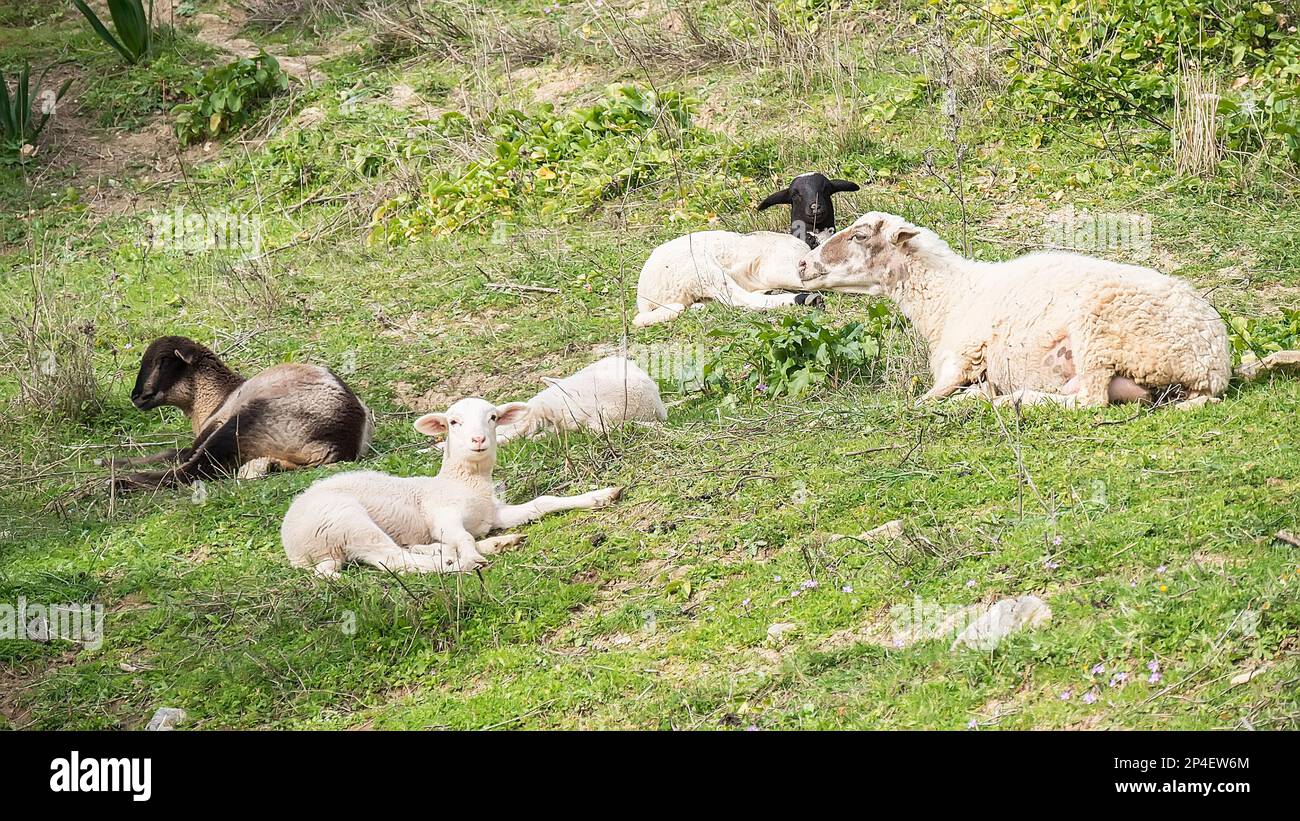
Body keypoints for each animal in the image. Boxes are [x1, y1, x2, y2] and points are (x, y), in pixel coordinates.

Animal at [104, 336, 373, 489]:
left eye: (163, 361)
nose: (136, 396)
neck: (214, 398)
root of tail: (340, 442)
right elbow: (171, 452)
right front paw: (111, 461)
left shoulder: (214, 427)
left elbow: (180, 455)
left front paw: (115, 467)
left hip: (245, 424)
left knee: (191, 472)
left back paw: (118, 484)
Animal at [280, 397, 622, 577]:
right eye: (453, 422)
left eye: (493, 417)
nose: (478, 439)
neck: (463, 483)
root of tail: (296, 548)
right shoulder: (442, 515)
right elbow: (462, 537)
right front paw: (470, 557)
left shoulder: (493, 514)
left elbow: (543, 502)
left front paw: (601, 495)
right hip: (347, 522)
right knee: (396, 560)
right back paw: (452, 562)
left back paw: (494, 544)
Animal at [797, 212, 1231, 408]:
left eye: (859, 236)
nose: (802, 264)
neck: (950, 297)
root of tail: (1213, 369)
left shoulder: (961, 358)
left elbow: (927, 399)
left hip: (1100, 335)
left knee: (1091, 400)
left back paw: (1017, 400)